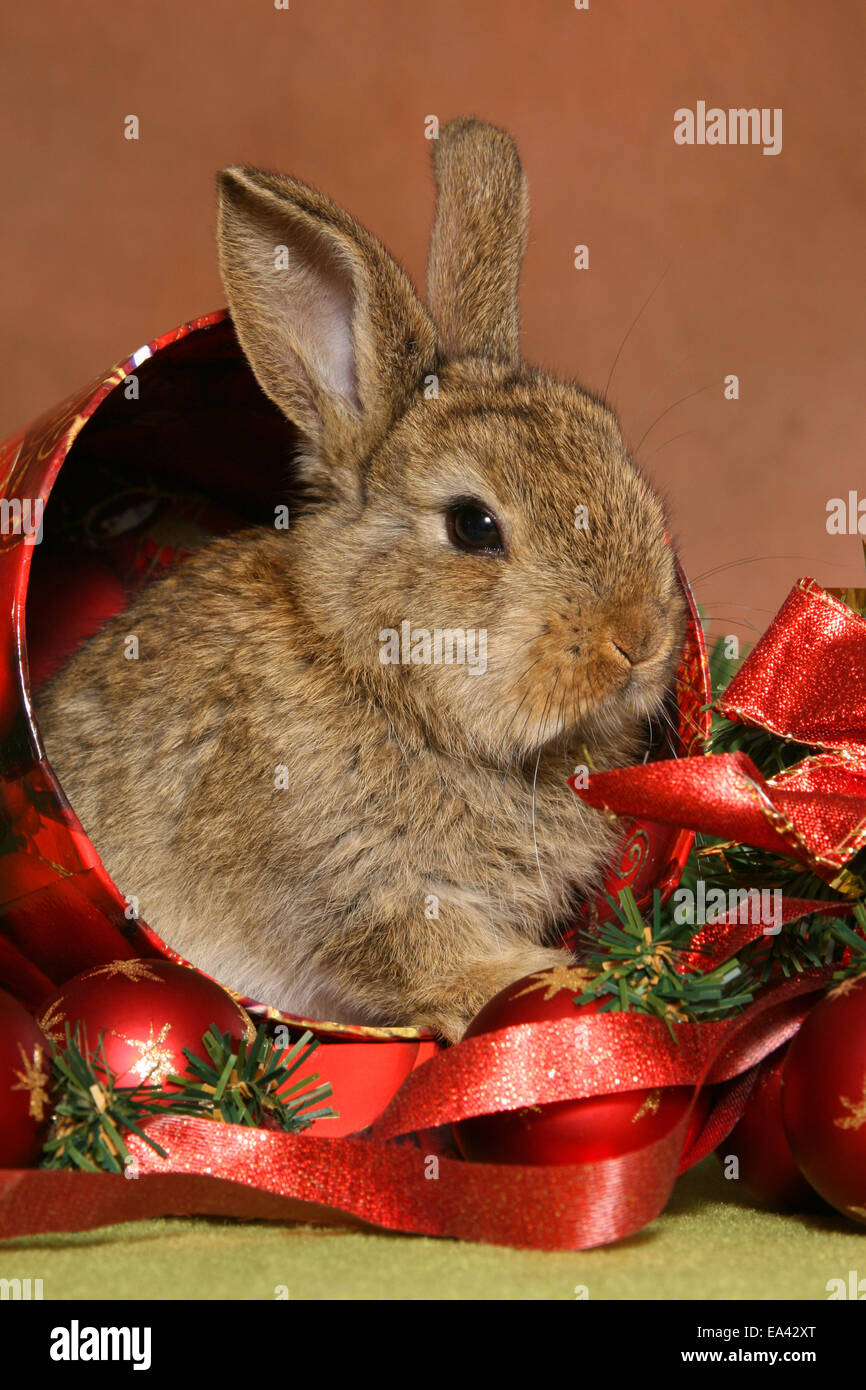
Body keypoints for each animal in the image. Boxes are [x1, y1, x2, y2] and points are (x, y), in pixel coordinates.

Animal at [35, 118, 686, 1042]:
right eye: (473, 526)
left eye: (609, 438)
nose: (639, 638)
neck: (378, 677)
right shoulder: (359, 889)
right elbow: (422, 958)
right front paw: (535, 977)